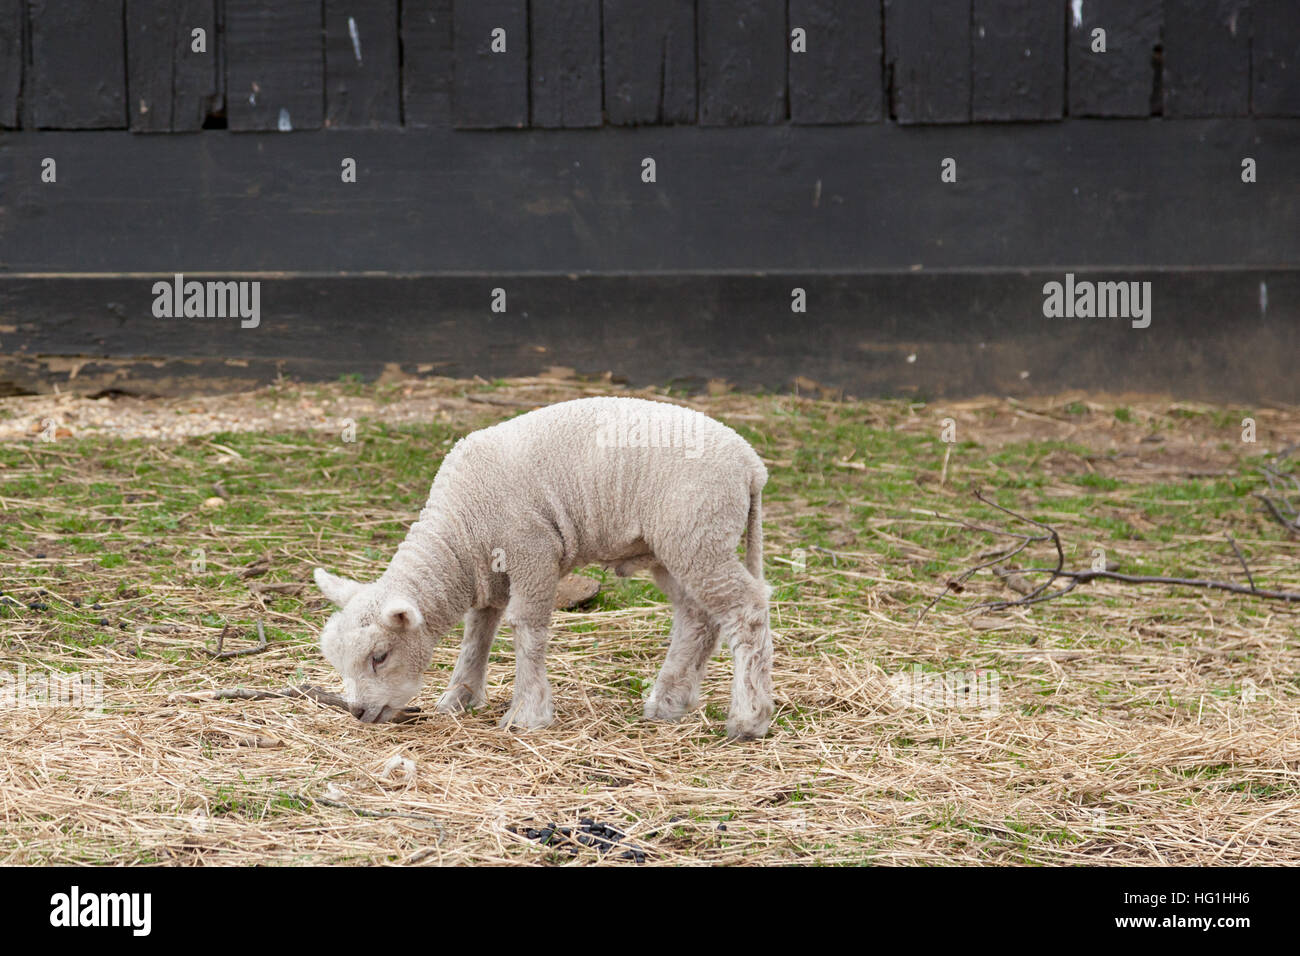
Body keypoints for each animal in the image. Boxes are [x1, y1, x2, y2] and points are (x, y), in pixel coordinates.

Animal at [313, 395, 774, 740]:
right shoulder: (490, 573)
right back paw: (668, 702)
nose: (357, 711)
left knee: (746, 610)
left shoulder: (531, 551)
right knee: (697, 617)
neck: (459, 534)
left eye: (380, 656)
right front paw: (458, 699)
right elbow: (477, 634)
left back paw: (749, 718)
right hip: (673, 546)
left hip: (698, 531)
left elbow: (527, 629)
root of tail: (751, 463)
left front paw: (527, 714)